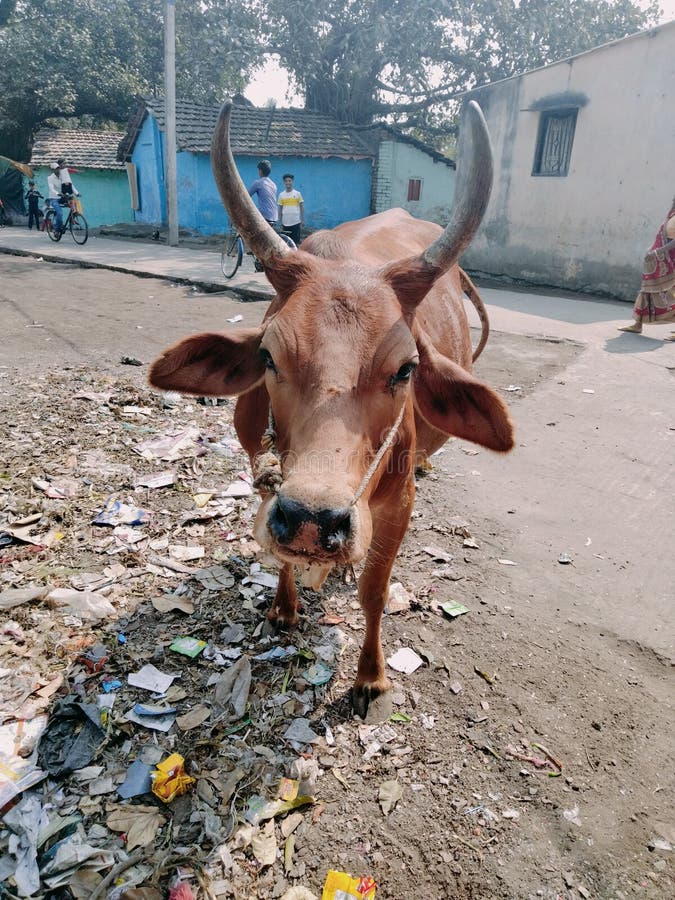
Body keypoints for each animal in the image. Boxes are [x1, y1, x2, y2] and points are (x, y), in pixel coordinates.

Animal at [150, 100, 514, 717]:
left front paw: (370, 676)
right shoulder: (265, 469)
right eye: (268, 356)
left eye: (406, 369)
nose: (314, 520)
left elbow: (375, 590)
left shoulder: (399, 505)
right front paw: (285, 605)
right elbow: (281, 552)